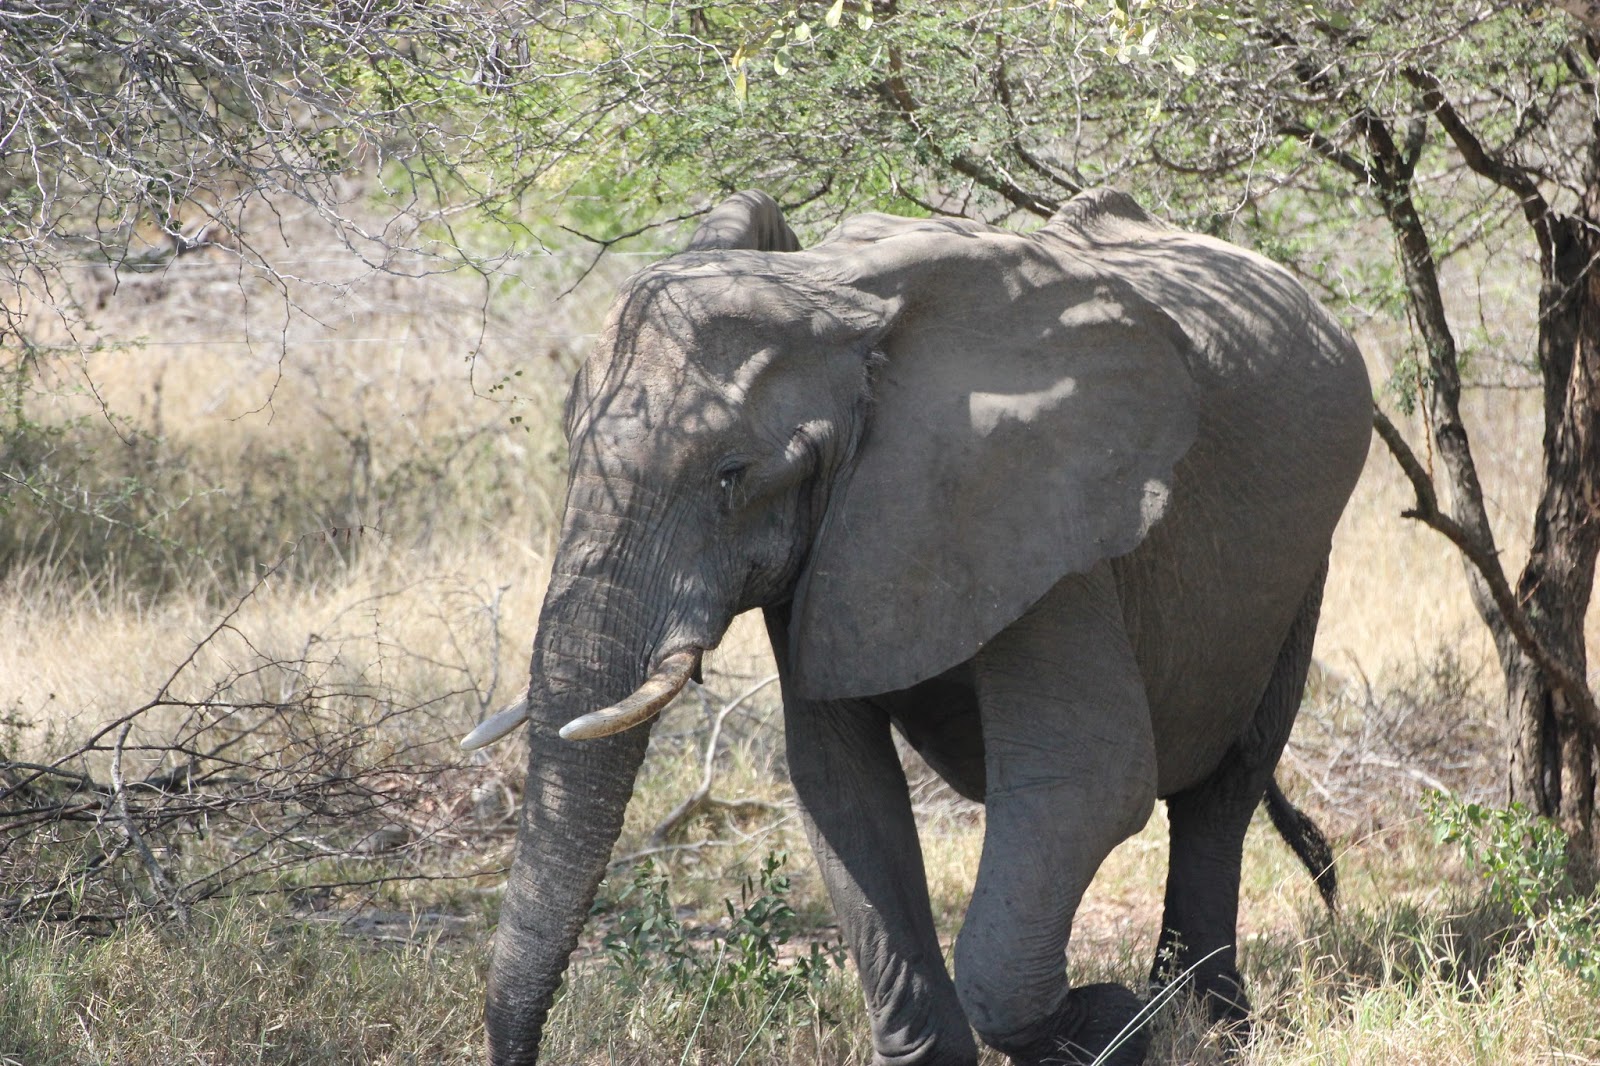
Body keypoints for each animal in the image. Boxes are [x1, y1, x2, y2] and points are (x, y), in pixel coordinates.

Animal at [463, 188, 1371, 1066]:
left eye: (731, 477)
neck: (836, 305)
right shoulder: (834, 547)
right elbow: (840, 787)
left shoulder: (1046, 523)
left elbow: (1092, 784)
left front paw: (1117, 1029)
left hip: (1303, 561)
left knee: (1224, 788)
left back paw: (1203, 1028)